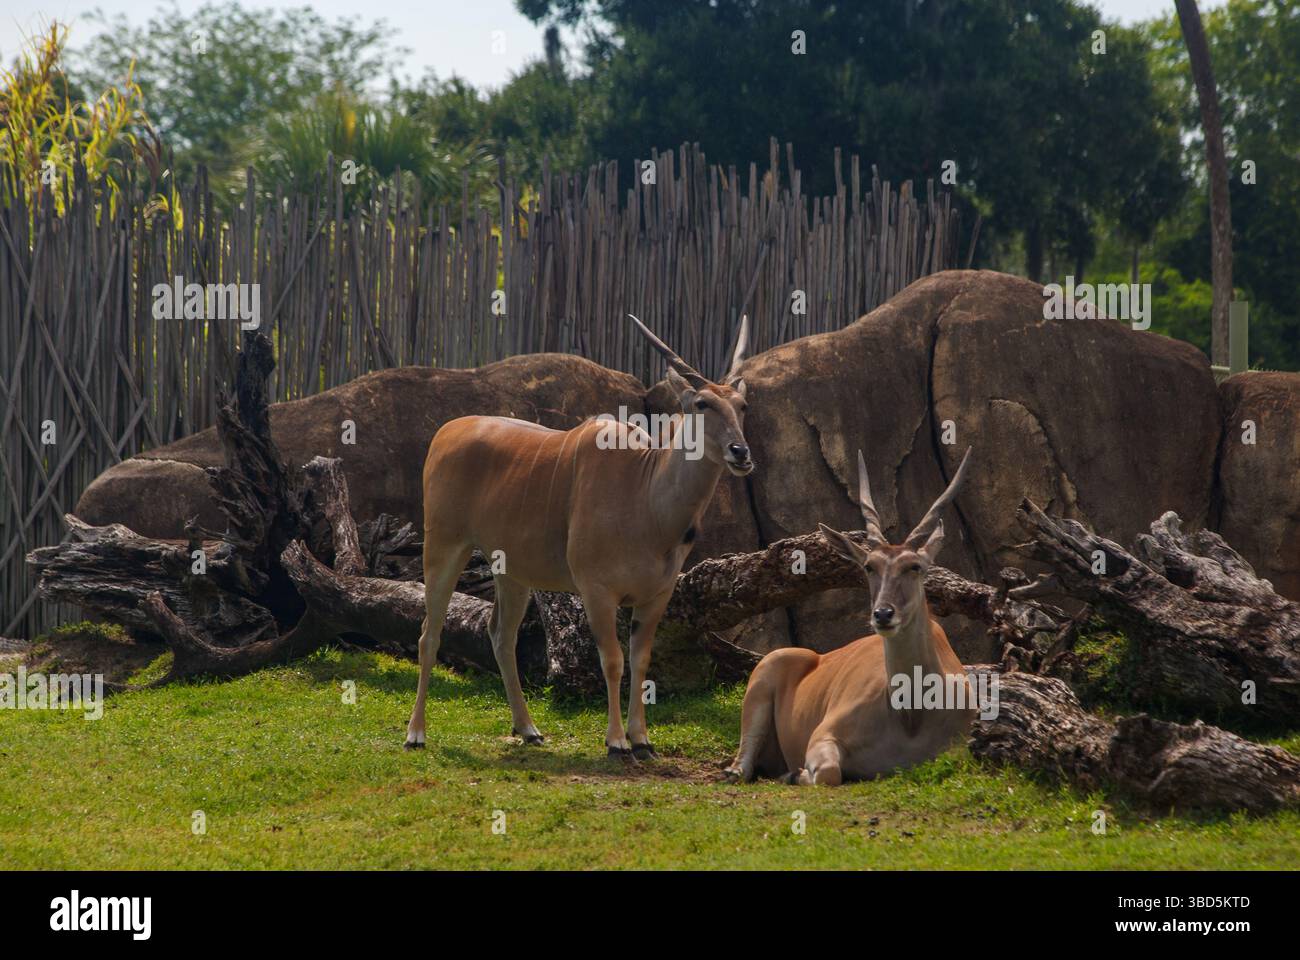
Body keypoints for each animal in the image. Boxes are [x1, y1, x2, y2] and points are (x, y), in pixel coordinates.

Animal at [404, 315, 753, 758]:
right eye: (702, 404)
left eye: (742, 406)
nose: (740, 452)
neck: (644, 494)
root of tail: (447, 432)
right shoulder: (597, 590)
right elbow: (614, 660)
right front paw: (617, 740)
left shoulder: (656, 596)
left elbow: (641, 661)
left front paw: (642, 739)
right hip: (444, 547)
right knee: (428, 635)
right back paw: (416, 733)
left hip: (511, 573)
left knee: (501, 636)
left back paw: (528, 728)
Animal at [724, 448, 976, 785]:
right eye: (870, 566)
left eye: (915, 566)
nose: (883, 614)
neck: (912, 715)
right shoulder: (823, 737)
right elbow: (829, 772)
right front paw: (797, 774)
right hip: (764, 676)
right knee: (743, 762)